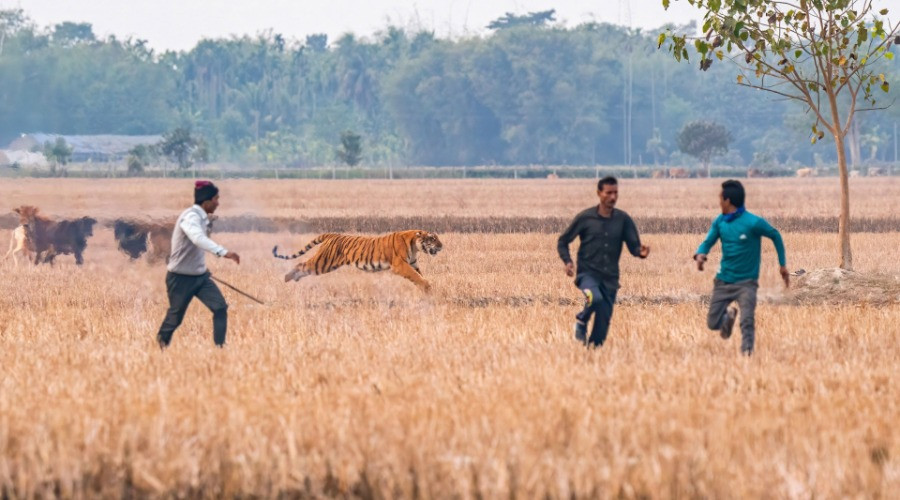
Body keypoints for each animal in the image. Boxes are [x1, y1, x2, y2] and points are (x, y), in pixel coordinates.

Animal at [272, 230, 443, 291]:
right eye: (433, 239)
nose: (442, 246)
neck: (415, 246)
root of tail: (331, 234)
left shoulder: (412, 264)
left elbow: (418, 276)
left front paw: (428, 291)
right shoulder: (400, 265)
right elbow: (416, 277)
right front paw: (427, 287)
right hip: (323, 263)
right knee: (302, 265)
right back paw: (287, 277)